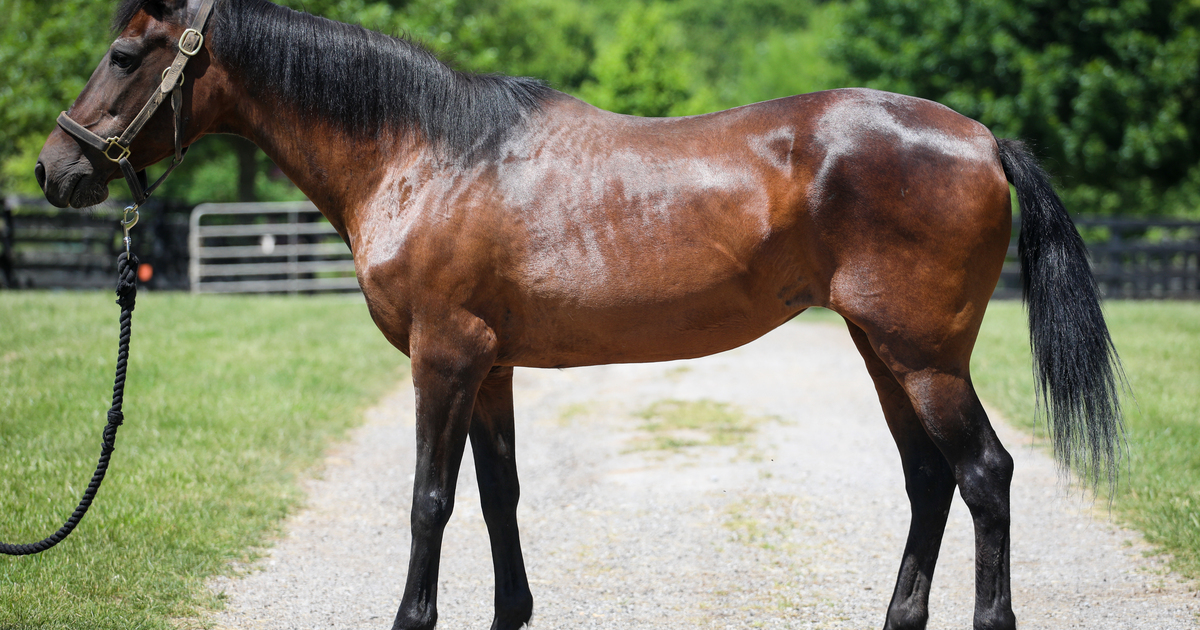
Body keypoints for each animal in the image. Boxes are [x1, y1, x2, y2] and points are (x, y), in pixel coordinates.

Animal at [35, 1, 1124, 629]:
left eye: (125, 53)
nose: (56, 170)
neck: (430, 153)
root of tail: (980, 137)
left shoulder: (442, 358)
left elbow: (429, 499)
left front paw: (413, 617)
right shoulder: (491, 366)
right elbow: (499, 497)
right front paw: (510, 613)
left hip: (923, 355)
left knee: (984, 475)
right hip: (884, 350)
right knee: (930, 482)